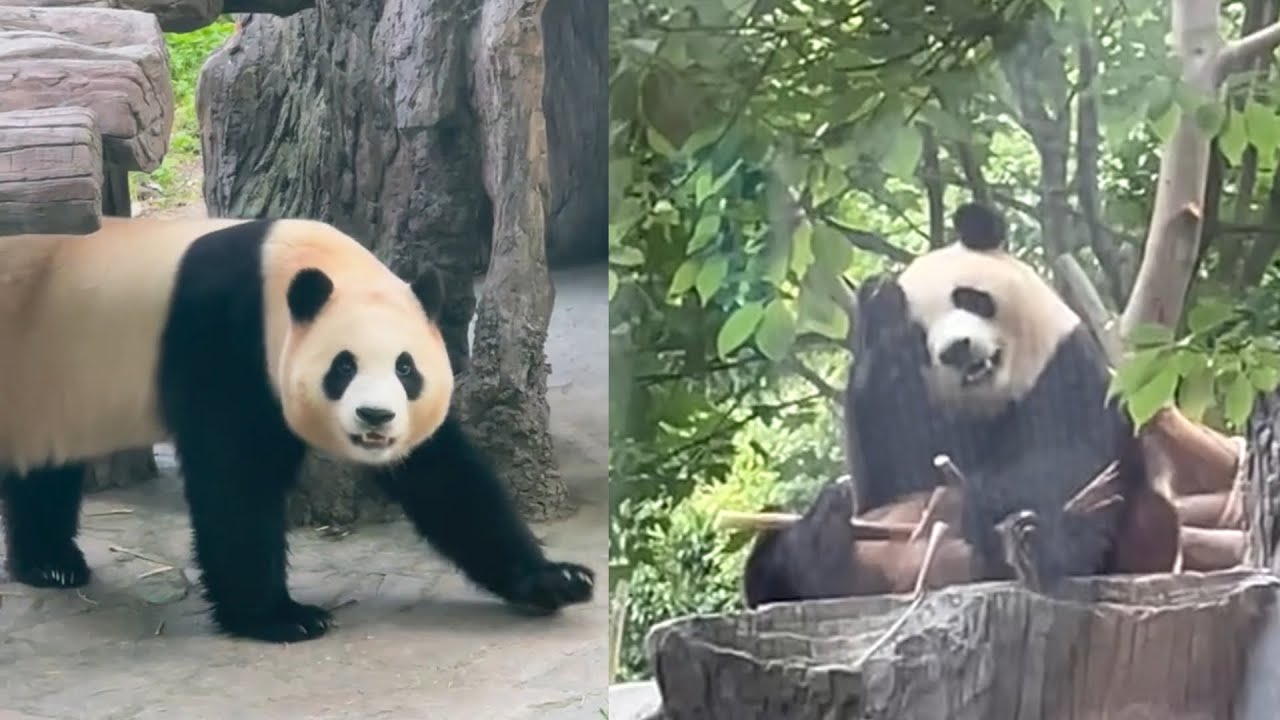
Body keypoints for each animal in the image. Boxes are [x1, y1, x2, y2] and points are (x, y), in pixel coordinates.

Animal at [0, 216, 594, 643]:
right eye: (343, 366)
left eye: (406, 368)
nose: (375, 418)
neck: (285, 267)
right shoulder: (221, 336)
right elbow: (234, 484)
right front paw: (280, 616)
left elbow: (445, 480)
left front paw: (555, 580)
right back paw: (49, 564)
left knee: (44, 470)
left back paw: (49, 562)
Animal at [743, 203, 1173, 606]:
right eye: (920, 337)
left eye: (968, 298)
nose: (956, 349)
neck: (990, 399)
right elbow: (881, 477)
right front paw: (880, 302)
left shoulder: (1064, 365)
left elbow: (1069, 460)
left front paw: (981, 499)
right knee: (777, 553)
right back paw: (823, 537)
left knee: (1096, 522)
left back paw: (1026, 546)